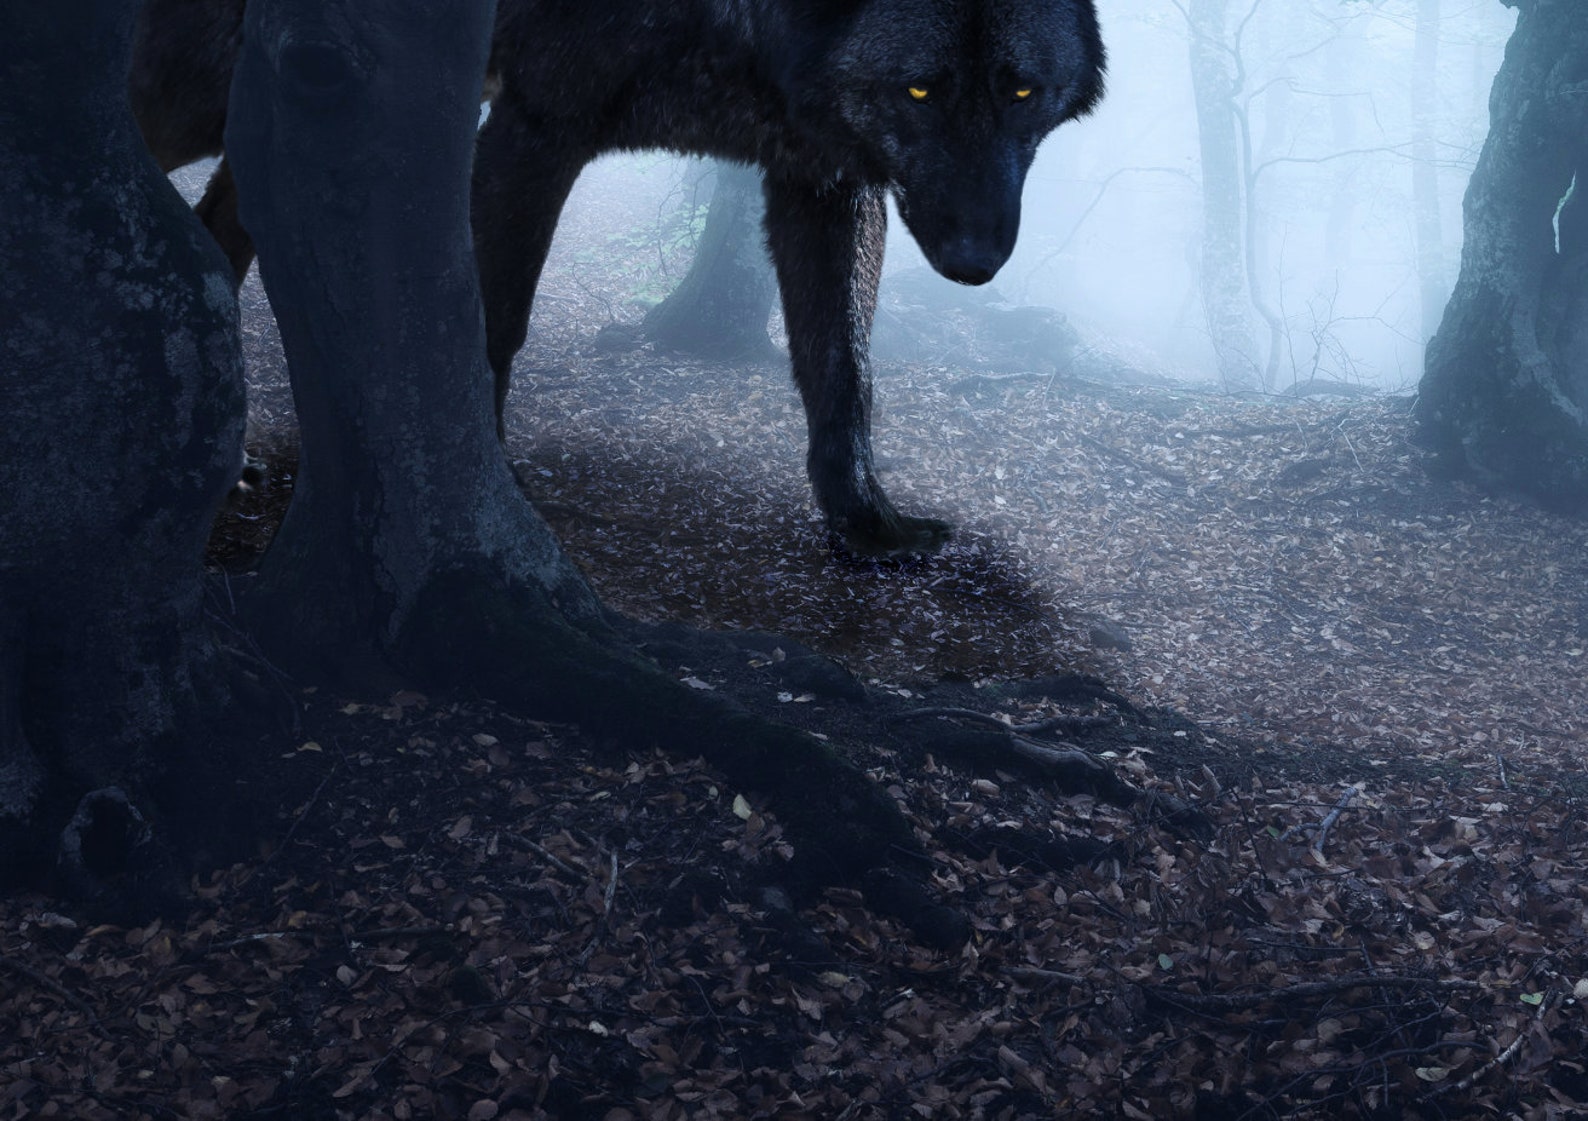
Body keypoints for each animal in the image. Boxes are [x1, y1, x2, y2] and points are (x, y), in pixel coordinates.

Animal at [130, 0, 1105, 556]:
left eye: (1021, 92)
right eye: (920, 91)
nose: (974, 259)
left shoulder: (822, 175)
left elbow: (845, 368)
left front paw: (868, 523)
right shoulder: (533, 122)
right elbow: (493, 325)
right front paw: (489, 500)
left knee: (215, 235)